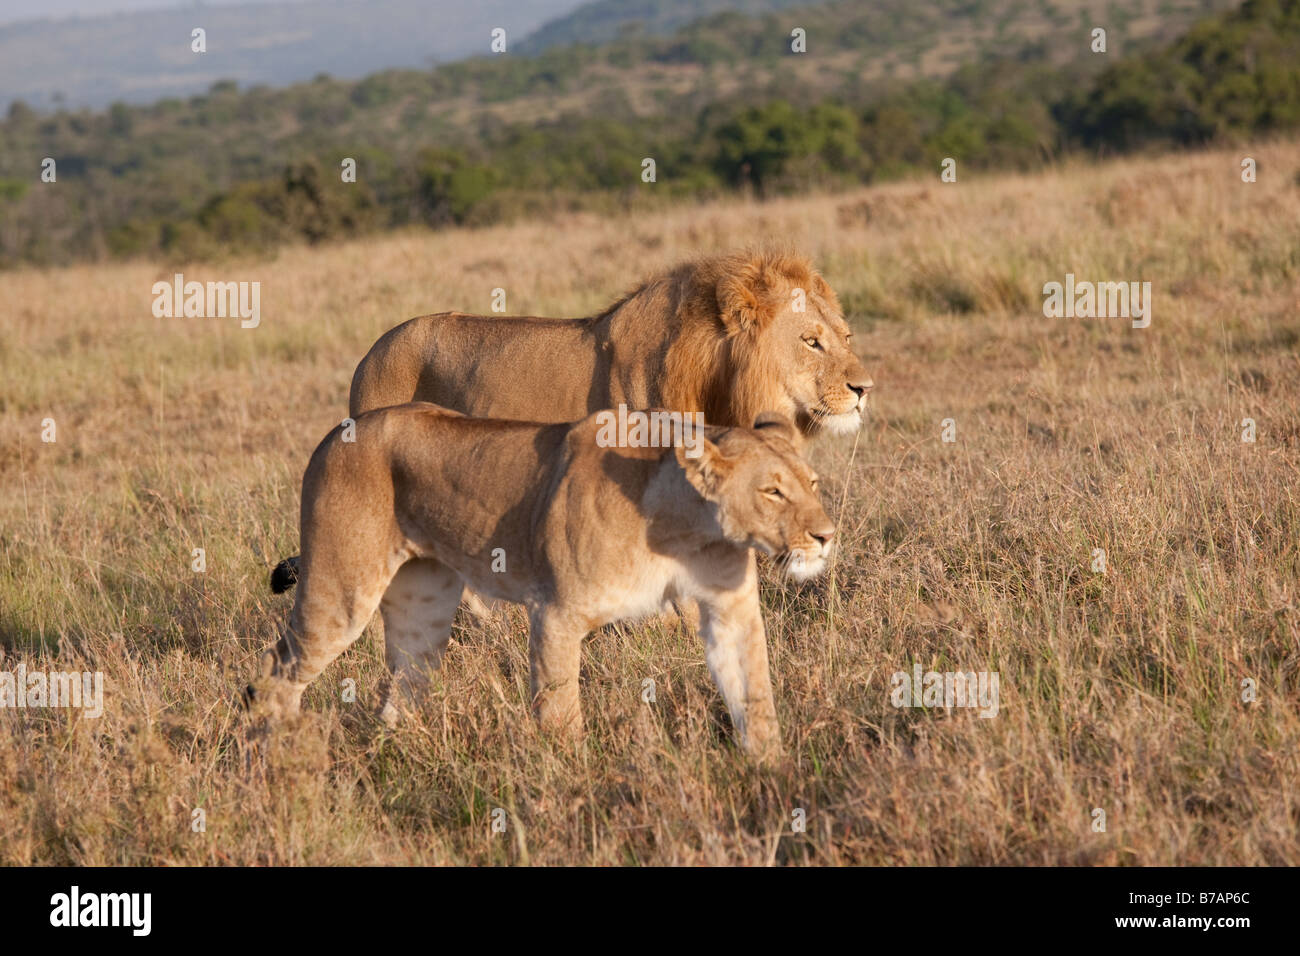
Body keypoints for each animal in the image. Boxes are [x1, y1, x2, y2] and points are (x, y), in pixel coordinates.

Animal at [246, 404, 834, 760]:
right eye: (772, 492)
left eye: (812, 483)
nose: (826, 536)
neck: (689, 528)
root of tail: (337, 431)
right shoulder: (556, 613)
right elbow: (561, 715)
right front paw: (579, 791)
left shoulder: (731, 612)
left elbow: (755, 697)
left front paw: (774, 777)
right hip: (342, 592)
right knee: (274, 672)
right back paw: (280, 758)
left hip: (424, 606)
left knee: (403, 686)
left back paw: (398, 756)